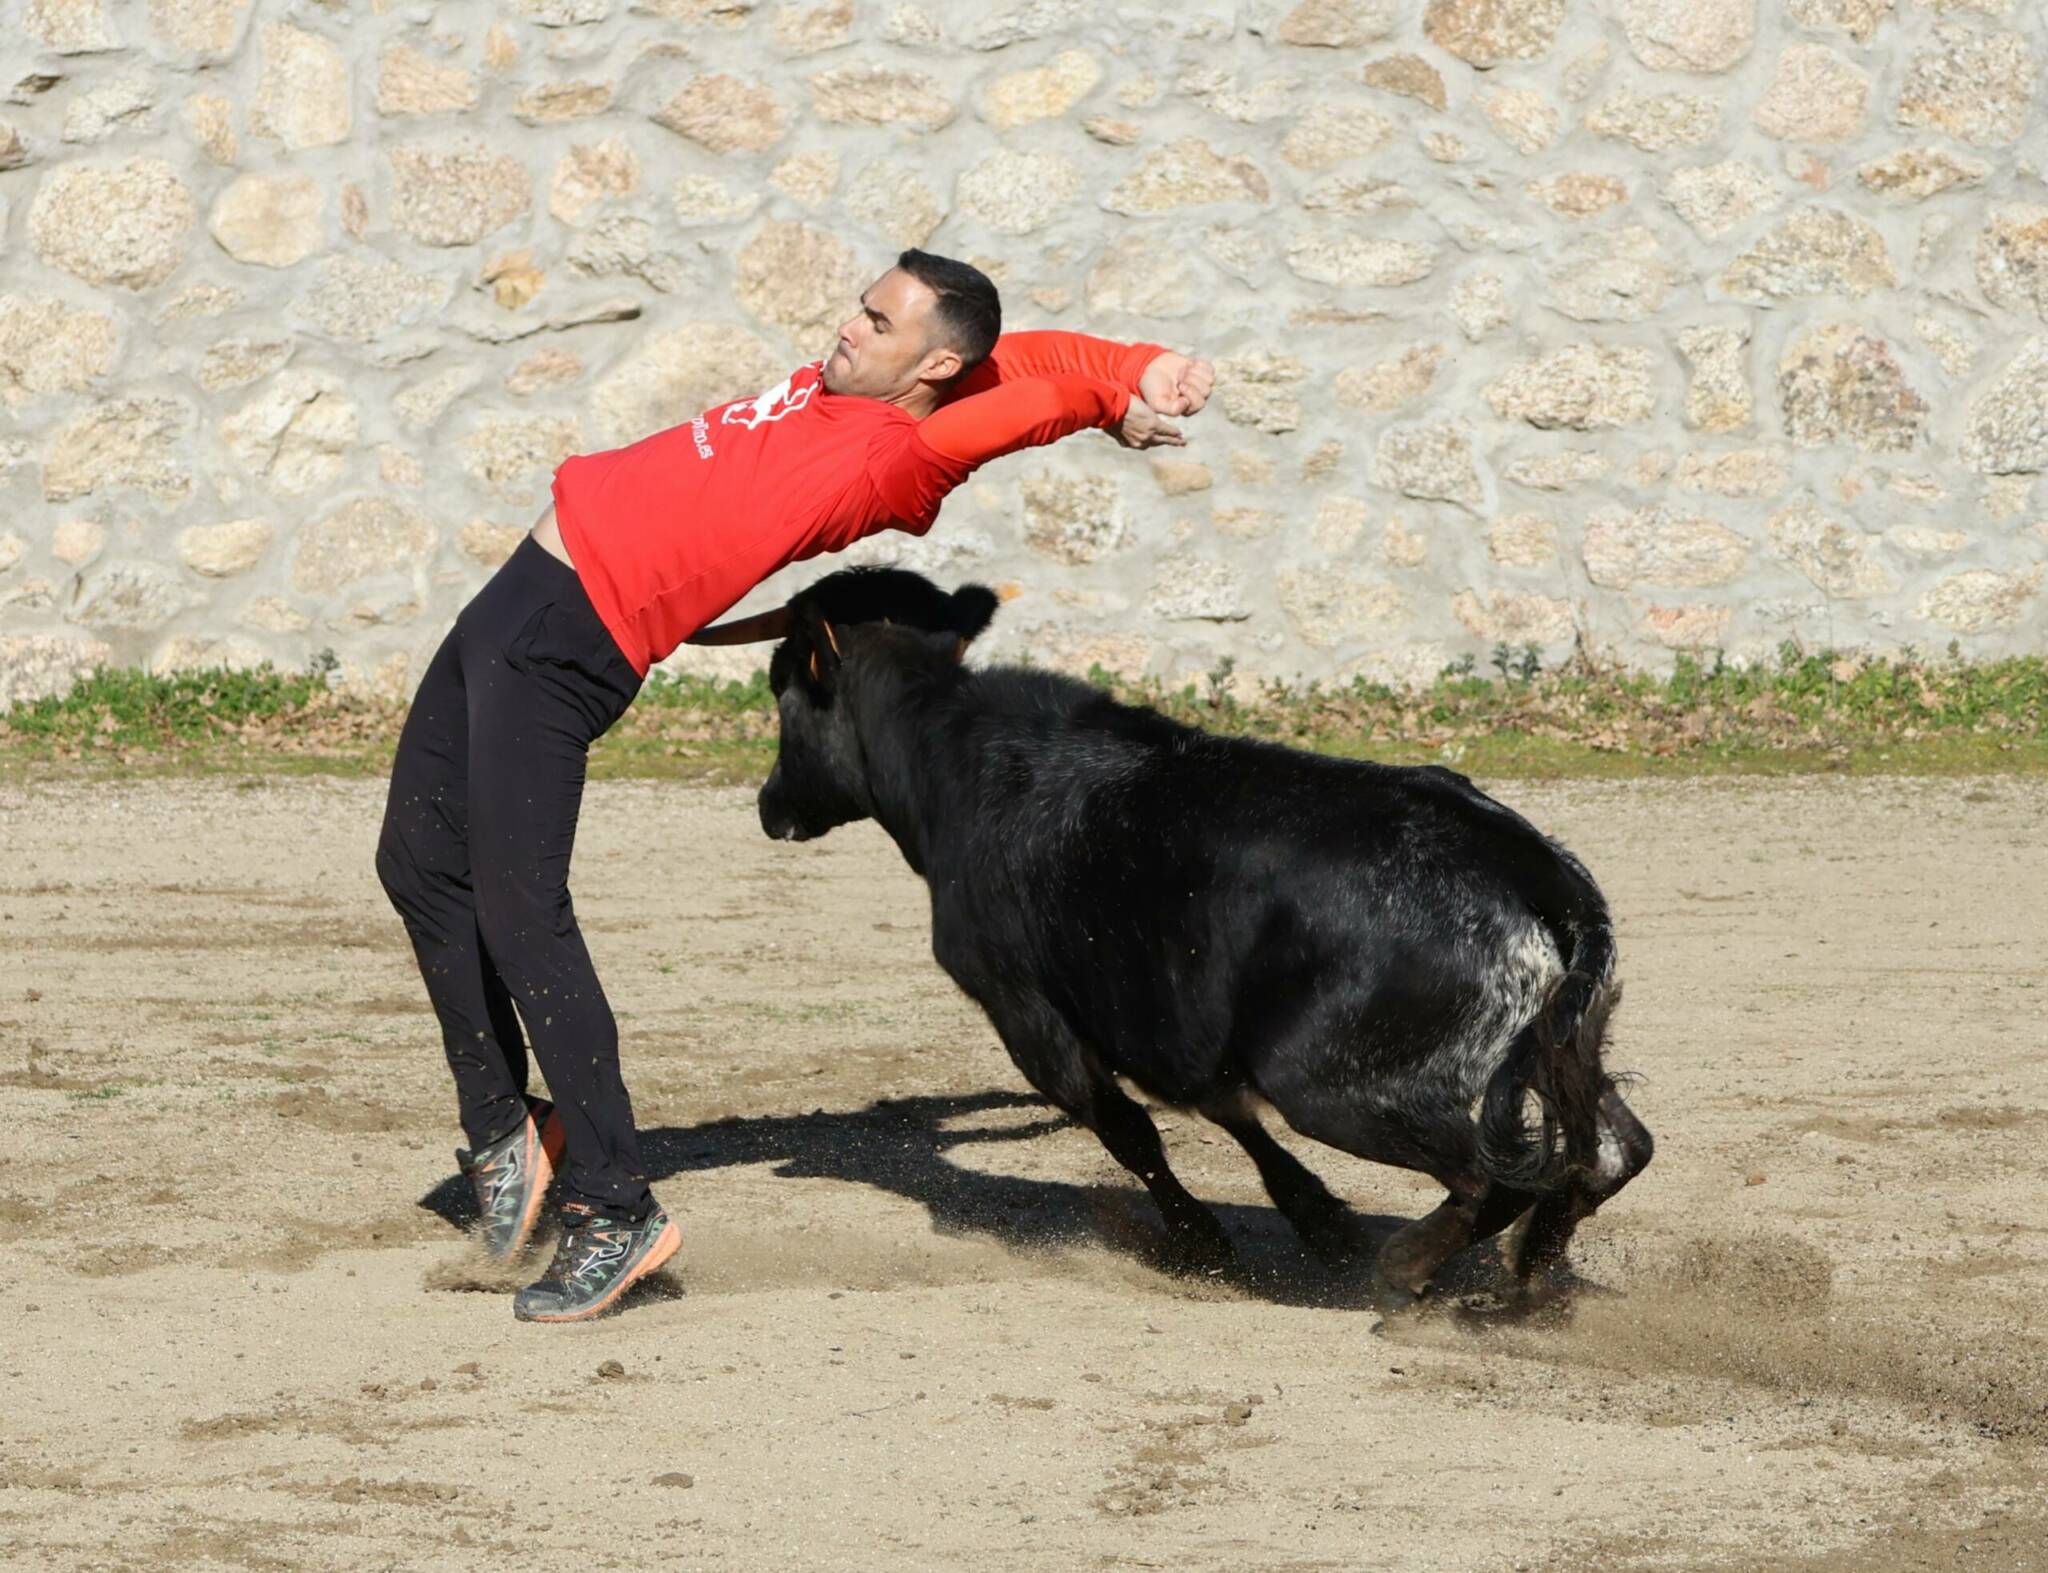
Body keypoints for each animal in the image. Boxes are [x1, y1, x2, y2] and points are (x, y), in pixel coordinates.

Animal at [690, 567, 1653, 1312]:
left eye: (783, 697)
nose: (770, 805)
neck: (949, 750)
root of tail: (1534, 872)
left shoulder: (1024, 1010)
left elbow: (1127, 1127)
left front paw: (1203, 1242)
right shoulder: (1176, 1024)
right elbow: (1226, 1116)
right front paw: (1321, 1221)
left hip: (1336, 1081)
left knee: (1501, 1175)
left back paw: (1407, 1269)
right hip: (1561, 1047)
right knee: (1610, 1151)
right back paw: (1527, 1274)